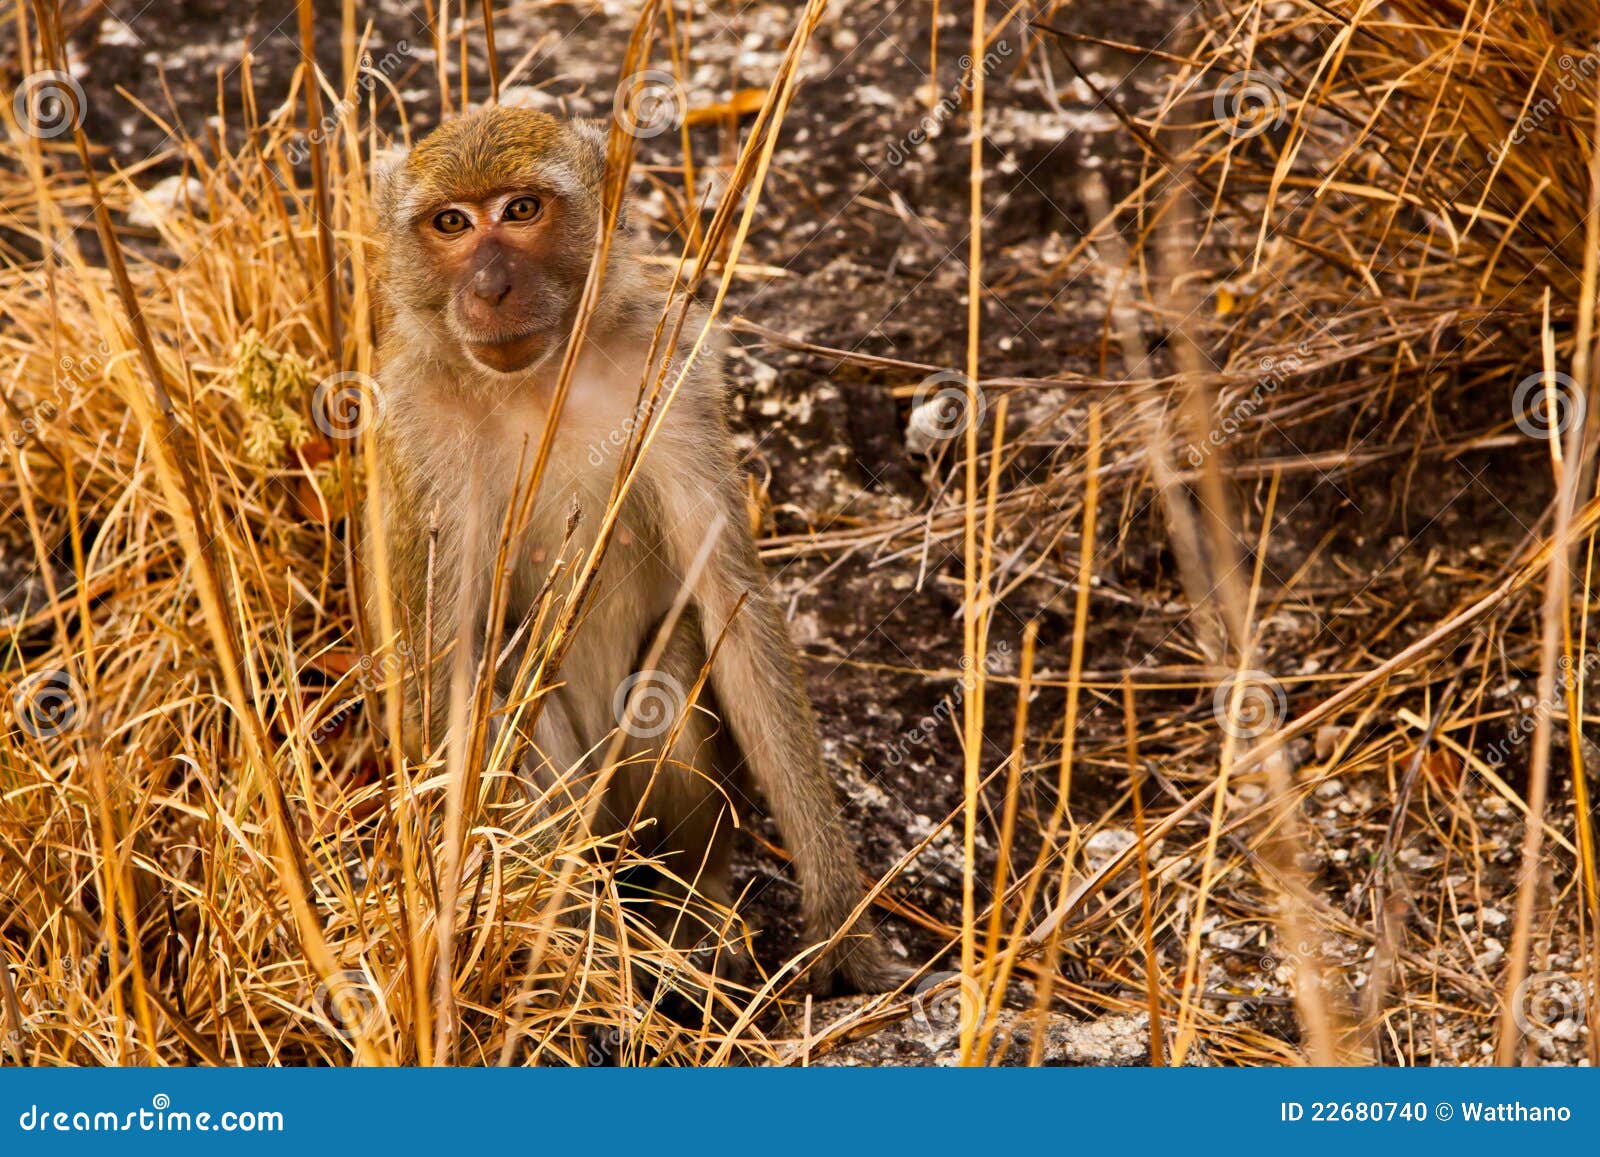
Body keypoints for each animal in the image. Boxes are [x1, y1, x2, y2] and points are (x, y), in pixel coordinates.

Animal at [365, 107, 904, 995]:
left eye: (521, 210)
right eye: (451, 224)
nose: (490, 288)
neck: (538, 379)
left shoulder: (674, 372)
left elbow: (731, 602)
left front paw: (839, 915)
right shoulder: (419, 428)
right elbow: (451, 666)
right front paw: (568, 949)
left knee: (662, 682)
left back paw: (693, 908)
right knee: (511, 690)